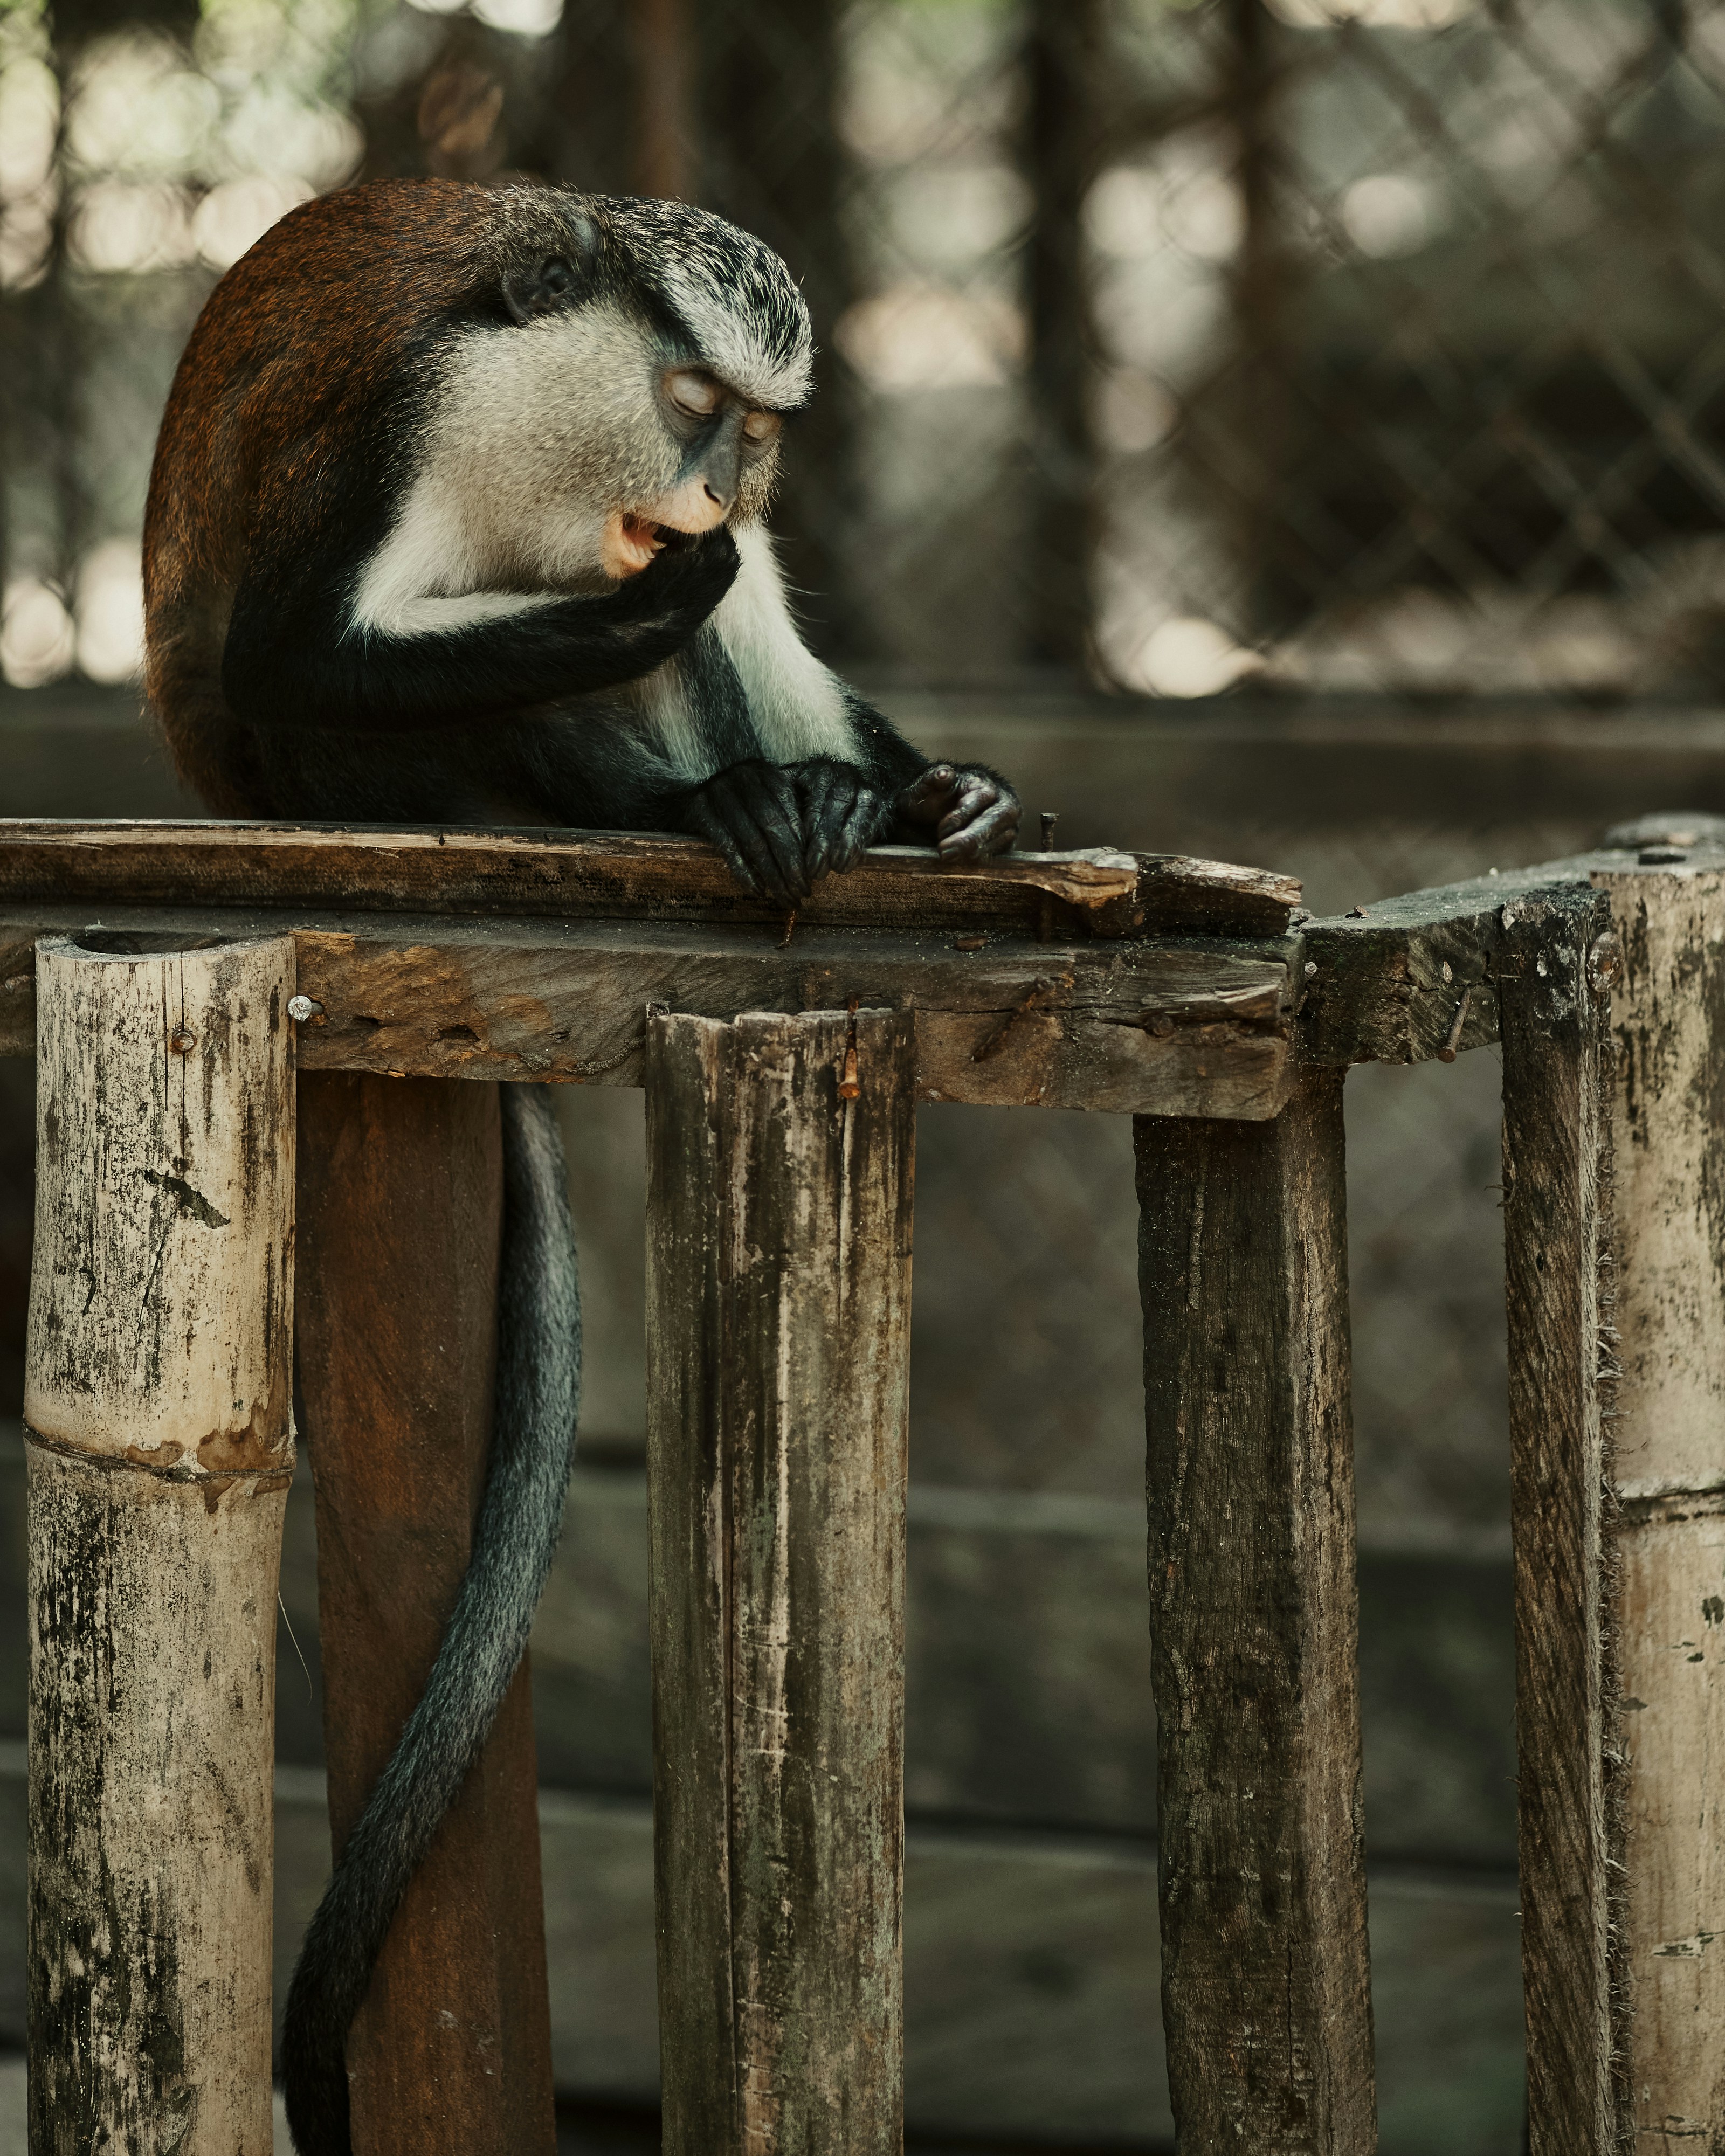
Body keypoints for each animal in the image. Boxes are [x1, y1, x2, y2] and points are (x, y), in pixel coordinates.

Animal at [142, 175, 1020, 2156]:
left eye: (755, 422)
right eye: (690, 399)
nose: (725, 484)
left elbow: (734, 607)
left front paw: (936, 790)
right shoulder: (411, 420)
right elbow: (306, 653)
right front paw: (672, 602)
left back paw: (851, 806)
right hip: (356, 788)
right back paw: (695, 810)